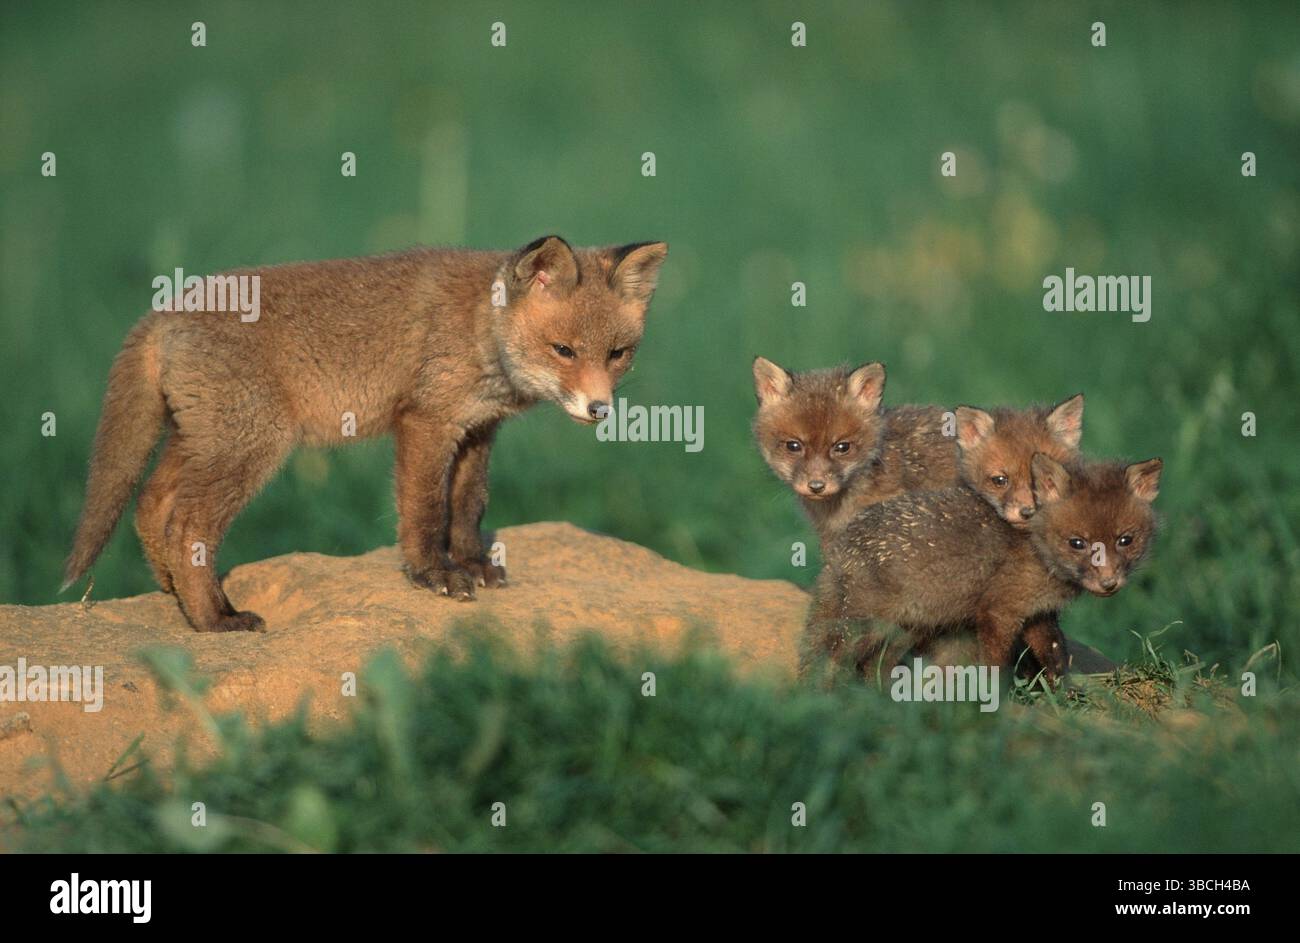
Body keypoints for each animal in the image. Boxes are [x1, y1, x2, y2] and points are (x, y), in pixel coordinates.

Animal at [62, 235, 669, 633]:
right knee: (186, 524)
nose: (599, 409)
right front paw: (434, 575)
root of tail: (165, 310)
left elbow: (467, 508)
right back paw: (214, 619)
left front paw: (473, 564)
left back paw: (176, 596)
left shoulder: (477, 430)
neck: (479, 327)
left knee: (151, 504)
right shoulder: (426, 422)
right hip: (249, 446)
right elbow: (425, 512)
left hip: (202, 440)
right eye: (563, 350)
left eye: (618, 353)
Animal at [807, 454, 1163, 682]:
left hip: (908, 629)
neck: (1038, 553)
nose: (1109, 584)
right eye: (1077, 543)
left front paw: (1066, 697)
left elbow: (1056, 657)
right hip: (865, 626)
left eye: (1126, 540)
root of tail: (840, 547)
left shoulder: (1037, 615)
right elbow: (995, 664)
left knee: (874, 667)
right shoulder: (998, 612)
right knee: (834, 659)